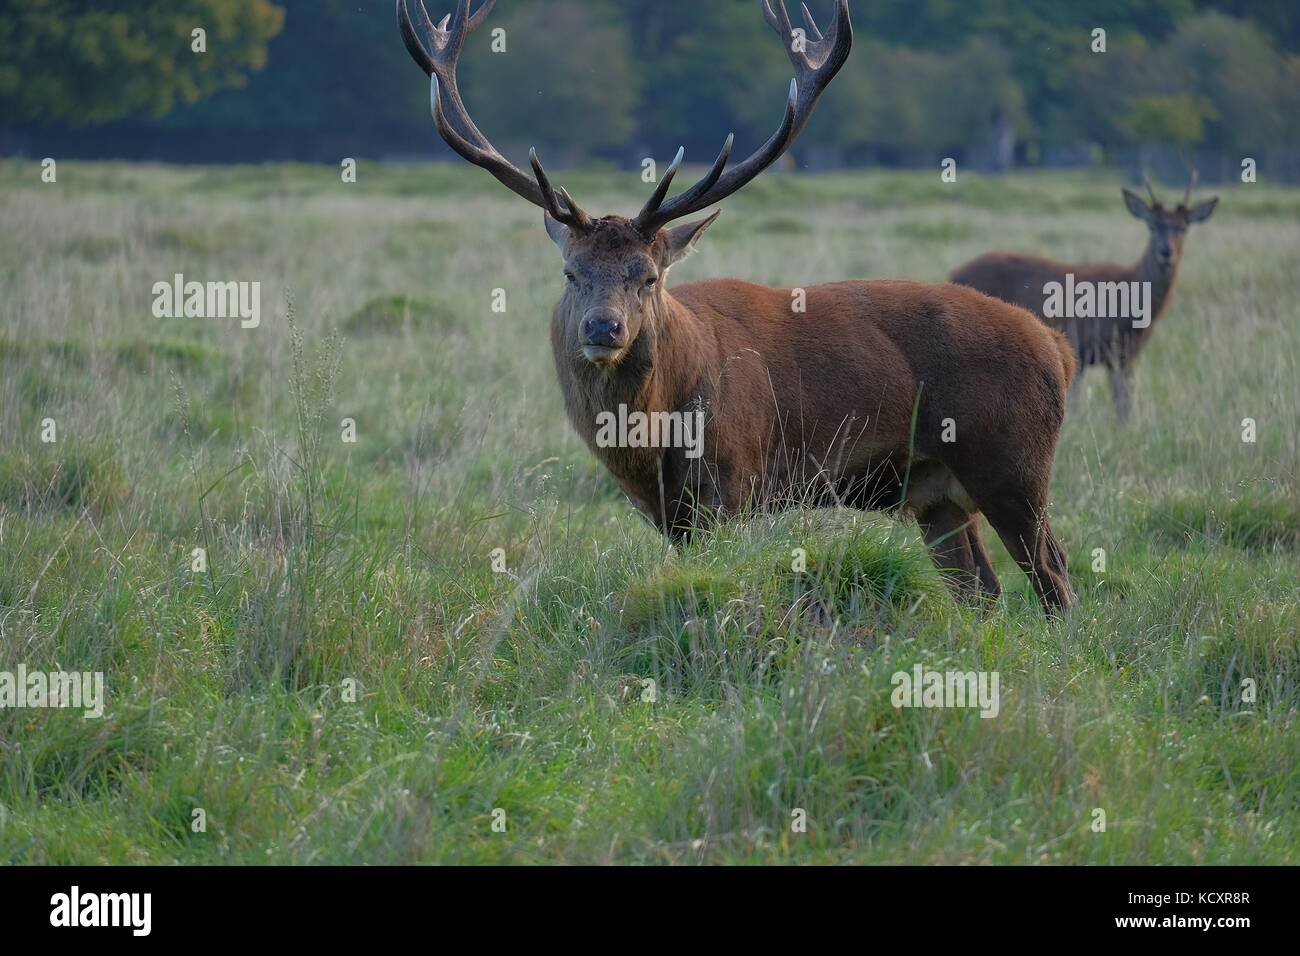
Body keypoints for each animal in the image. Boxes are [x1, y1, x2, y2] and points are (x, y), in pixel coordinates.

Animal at [397, 0, 1077, 614]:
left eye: (649, 277)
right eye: (571, 272)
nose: (603, 327)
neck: (655, 439)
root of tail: (1059, 350)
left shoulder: (732, 483)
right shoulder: (666, 513)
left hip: (1013, 465)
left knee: (1054, 577)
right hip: (937, 492)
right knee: (981, 591)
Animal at [950, 173, 1219, 420]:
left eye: (1183, 227)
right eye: (1151, 226)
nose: (1166, 252)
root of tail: (953, 272)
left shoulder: (1125, 356)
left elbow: (1124, 406)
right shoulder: (1080, 341)